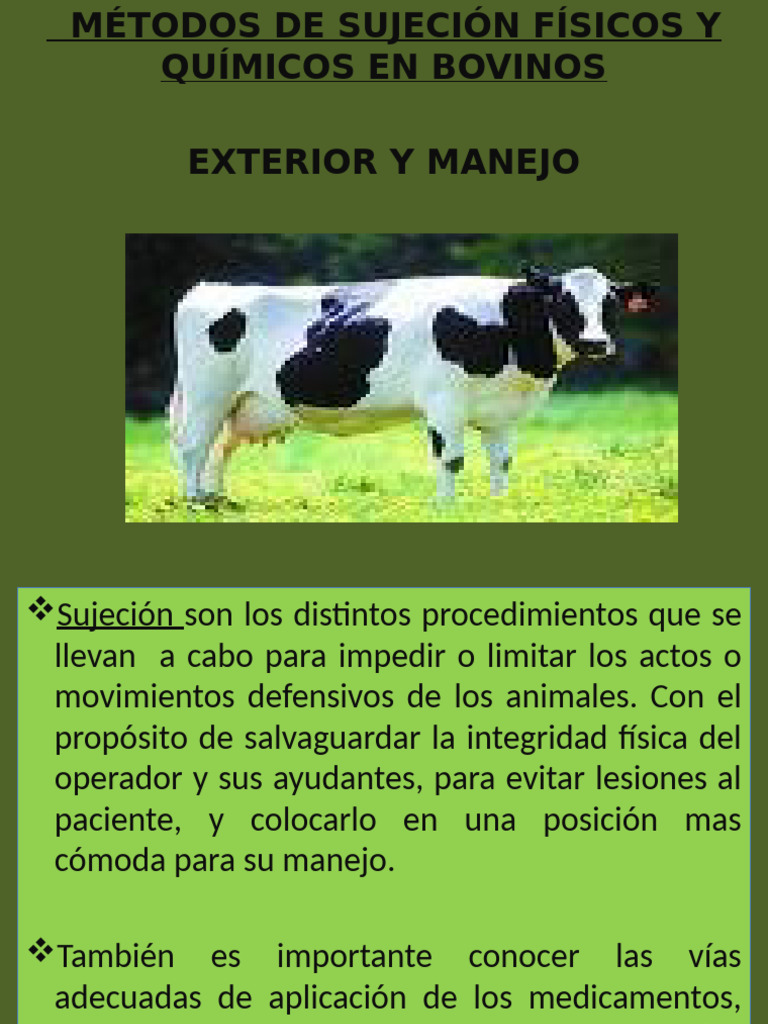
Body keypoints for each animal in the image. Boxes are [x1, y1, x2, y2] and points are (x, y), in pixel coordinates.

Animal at [170, 267, 652, 502]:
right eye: (562, 301)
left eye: (610, 303)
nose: (596, 343)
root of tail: (209, 287)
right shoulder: (444, 403)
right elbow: (451, 460)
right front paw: (446, 507)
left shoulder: (502, 413)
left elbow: (502, 462)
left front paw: (500, 503)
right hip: (206, 394)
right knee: (193, 446)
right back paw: (195, 500)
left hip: (240, 404)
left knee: (219, 448)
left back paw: (217, 498)